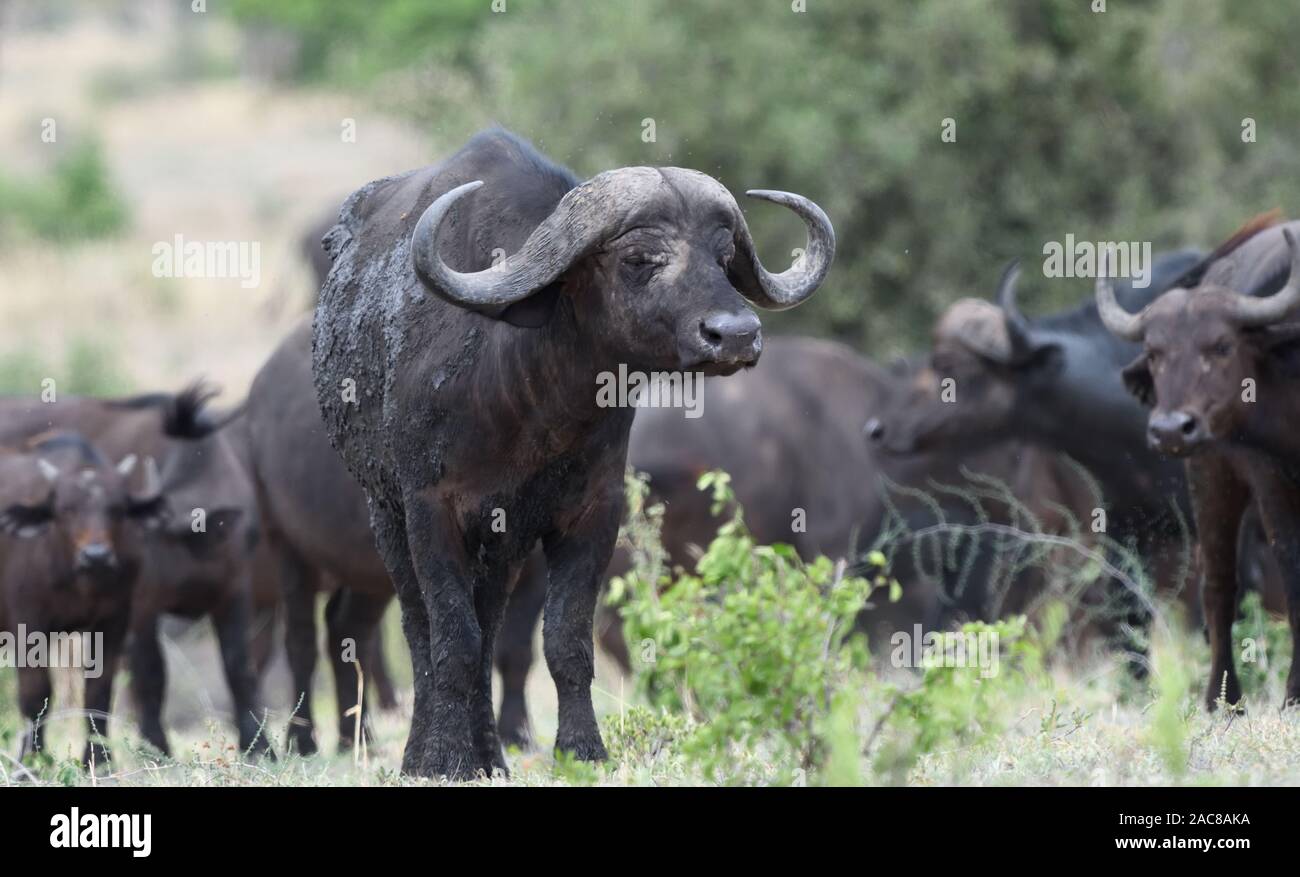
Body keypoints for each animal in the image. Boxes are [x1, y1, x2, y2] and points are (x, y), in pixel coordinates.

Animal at [312, 128, 834, 779]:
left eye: (722, 256)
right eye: (639, 259)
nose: (735, 335)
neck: (526, 395)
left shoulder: (591, 513)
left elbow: (565, 640)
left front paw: (583, 749)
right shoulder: (430, 511)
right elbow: (450, 639)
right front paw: (445, 759)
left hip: (503, 547)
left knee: (490, 624)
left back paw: (492, 755)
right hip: (385, 513)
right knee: (419, 626)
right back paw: (423, 753)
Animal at [1097, 215, 1300, 708]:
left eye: (1222, 345)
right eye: (1154, 353)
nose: (1171, 429)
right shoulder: (1271, 476)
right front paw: (1295, 692)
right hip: (1210, 474)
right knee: (1219, 583)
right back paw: (1221, 698)